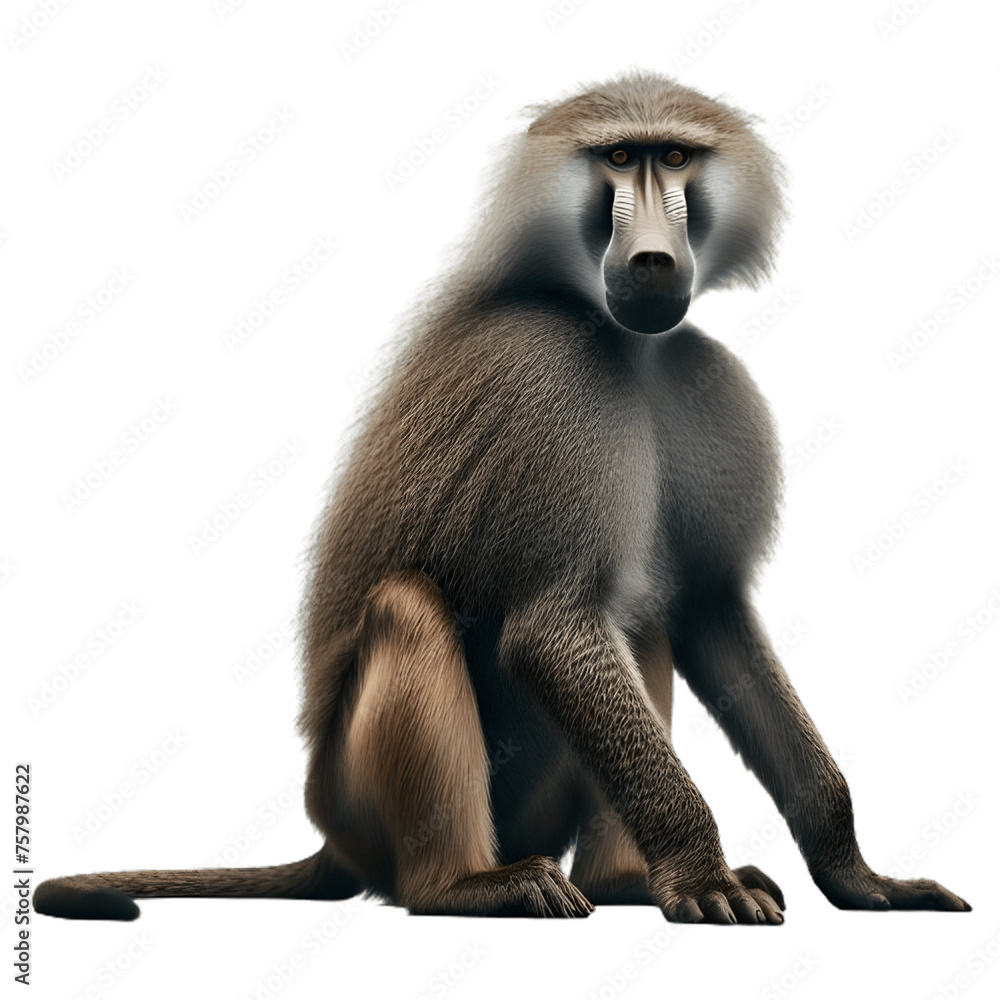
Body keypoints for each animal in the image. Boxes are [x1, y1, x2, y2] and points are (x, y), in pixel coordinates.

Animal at [35, 71, 970, 925]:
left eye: (674, 157)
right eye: (617, 158)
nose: (653, 262)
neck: (627, 344)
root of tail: (332, 839)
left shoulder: (710, 387)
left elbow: (710, 617)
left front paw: (857, 875)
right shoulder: (553, 383)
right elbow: (550, 628)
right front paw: (704, 875)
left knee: (641, 619)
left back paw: (622, 882)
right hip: (361, 799)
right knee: (410, 611)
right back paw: (467, 886)